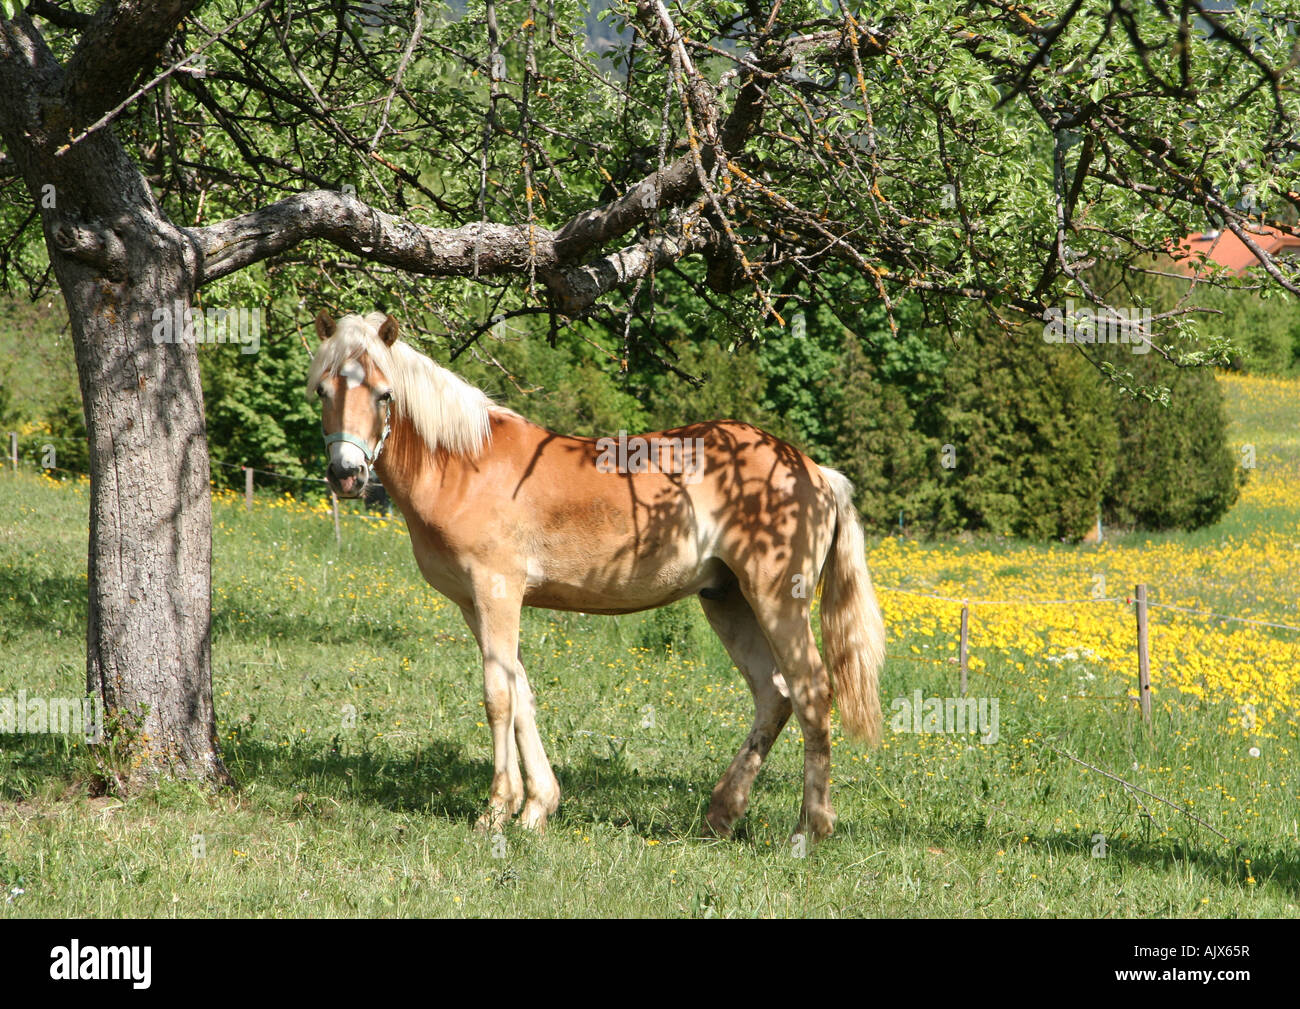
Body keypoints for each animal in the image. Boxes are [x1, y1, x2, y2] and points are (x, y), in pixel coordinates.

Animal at [307, 309, 886, 841]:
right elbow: (522, 695)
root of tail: (813, 470)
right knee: (774, 694)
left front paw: (496, 812)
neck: (464, 465)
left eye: (384, 394)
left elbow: (498, 697)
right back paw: (721, 814)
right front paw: (537, 808)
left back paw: (810, 829)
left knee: (811, 691)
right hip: (727, 600)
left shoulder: (497, 592)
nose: (346, 475)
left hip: (777, 599)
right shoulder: (475, 604)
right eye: (322, 390)